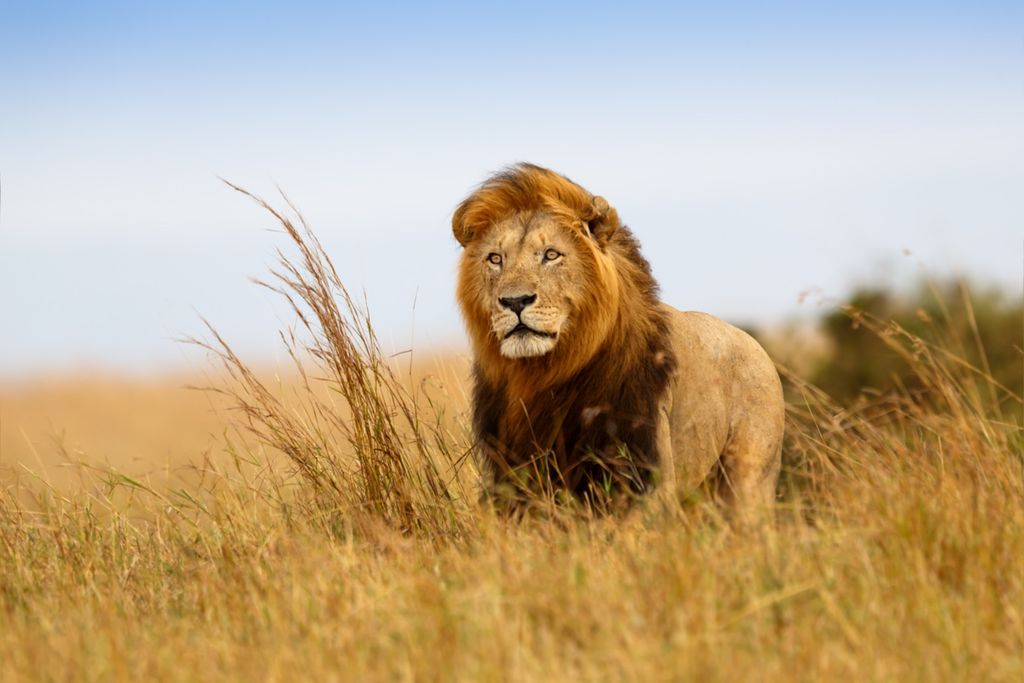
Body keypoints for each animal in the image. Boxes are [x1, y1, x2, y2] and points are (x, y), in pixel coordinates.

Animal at [452, 163, 784, 517]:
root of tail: (756, 346)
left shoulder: (644, 472)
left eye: (551, 255)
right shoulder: (513, 474)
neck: (545, 374)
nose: (514, 301)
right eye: (495, 259)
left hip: (749, 480)